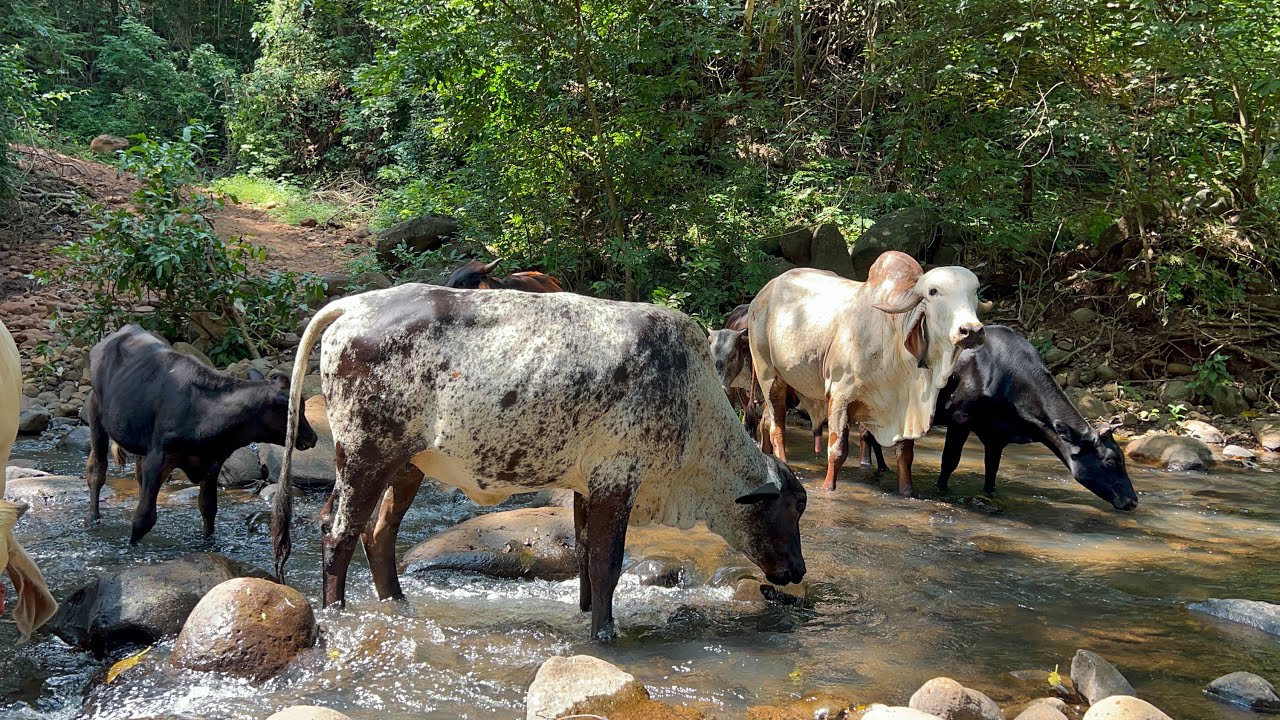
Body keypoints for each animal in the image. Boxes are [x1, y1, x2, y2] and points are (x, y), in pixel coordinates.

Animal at [84, 325, 318, 543]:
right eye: (292, 410)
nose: (313, 437)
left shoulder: (212, 463)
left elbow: (208, 508)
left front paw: (208, 542)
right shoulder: (158, 459)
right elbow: (143, 519)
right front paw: (132, 545)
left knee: (136, 475)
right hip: (95, 410)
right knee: (98, 470)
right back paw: (93, 518)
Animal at [271, 284, 807, 641]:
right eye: (787, 510)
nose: (799, 569)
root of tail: (356, 304)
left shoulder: (588, 486)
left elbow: (587, 559)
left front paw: (588, 615)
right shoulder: (618, 479)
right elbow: (606, 563)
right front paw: (605, 634)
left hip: (407, 464)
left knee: (378, 532)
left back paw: (397, 603)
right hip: (365, 455)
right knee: (337, 532)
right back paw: (339, 612)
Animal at [749, 251, 988, 497]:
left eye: (975, 291)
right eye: (933, 291)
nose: (971, 330)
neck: (892, 334)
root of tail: (763, 293)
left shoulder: (905, 405)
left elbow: (905, 454)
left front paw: (907, 491)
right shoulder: (840, 395)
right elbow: (837, 450)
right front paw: (828, 487)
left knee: (765, 421)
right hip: (769, 376)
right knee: (777, 428)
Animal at [859, 325, 1138, 510]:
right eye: (1112, 460)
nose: (1133, 501)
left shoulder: (996, 435)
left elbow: (992, 470)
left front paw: (991, 493)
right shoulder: (960, 419)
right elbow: (950, 461)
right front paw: (941, 489)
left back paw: (882, 467)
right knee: (866, 434)